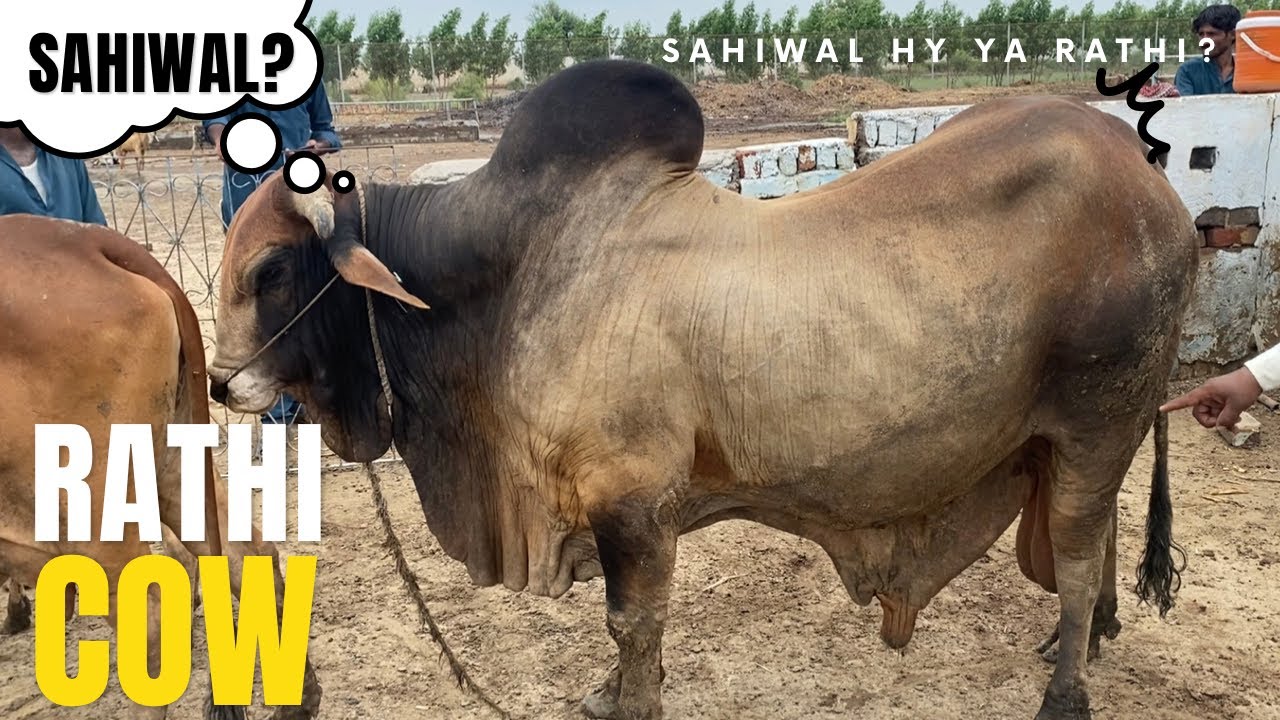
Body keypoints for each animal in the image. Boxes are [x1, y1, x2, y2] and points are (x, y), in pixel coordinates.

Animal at [0, 215, 322, 720]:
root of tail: (89, 242)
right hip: (173, 461)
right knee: (244, 553)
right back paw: (298, 698)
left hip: (83, 502)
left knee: (147, 617)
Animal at [206, 60, 1199, 720]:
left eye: (270, 270)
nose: (219, 384)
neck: (513, 278)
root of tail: (1148, 183)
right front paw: (608, 693)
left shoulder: (634, 505)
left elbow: (631, 623)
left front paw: (629, 698)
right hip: (1068, 440)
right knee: (1093, 540)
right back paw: (1086, 638)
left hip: (1097, 421)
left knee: (1078, 557)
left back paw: (1066, 687)